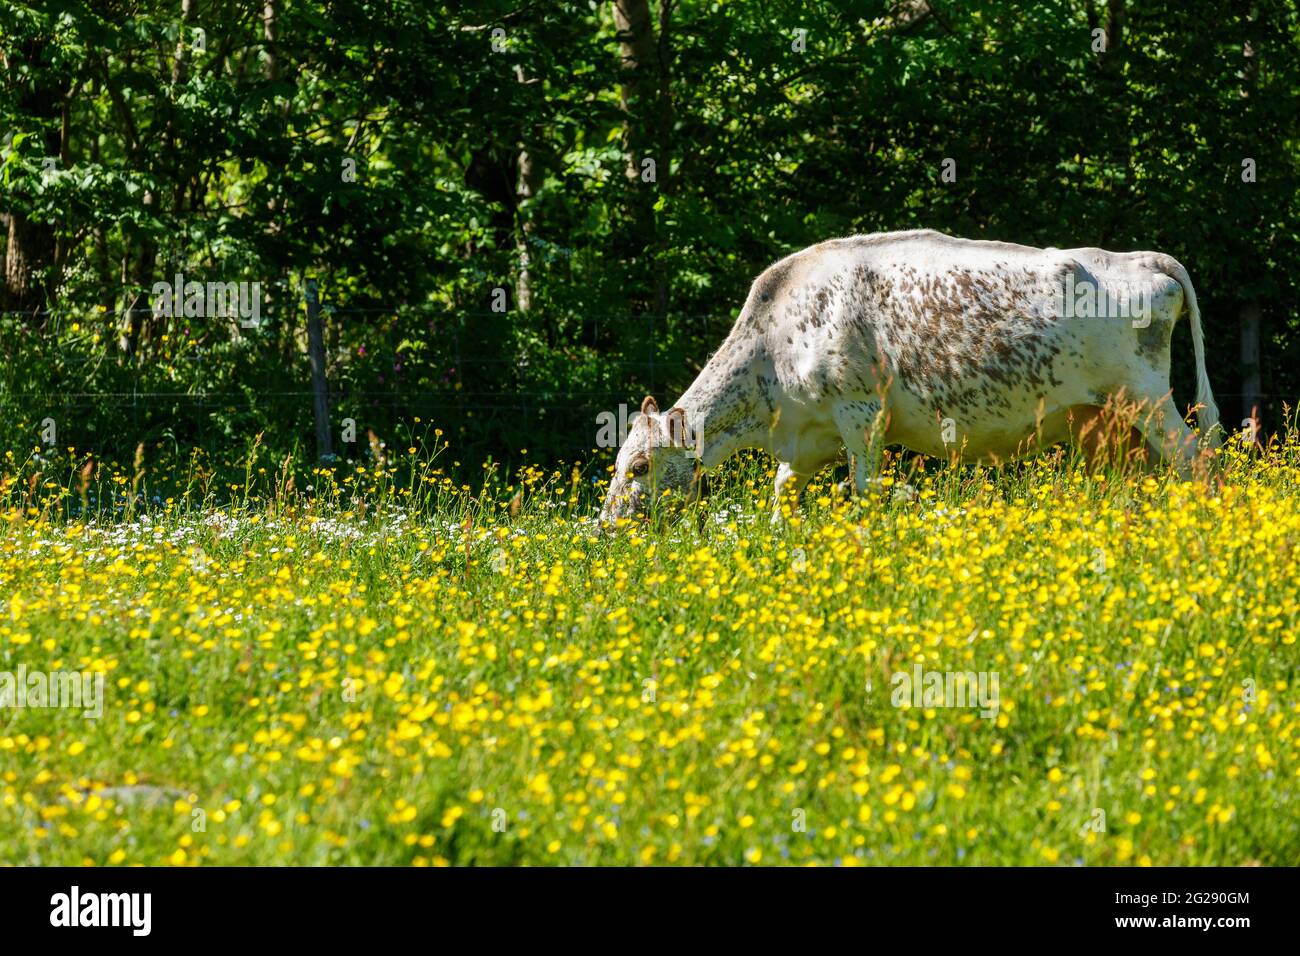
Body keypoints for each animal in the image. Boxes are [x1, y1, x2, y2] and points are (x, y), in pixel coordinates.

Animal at [599, 229, 1221, 525]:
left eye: (640, 466)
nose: (607, 526)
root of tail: (1141, 258)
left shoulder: (860, 413)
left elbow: (866, 488)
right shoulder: (810, 436)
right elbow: (782, 493)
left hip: (1146, 397)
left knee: (1197, 458)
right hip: (1104, 420)